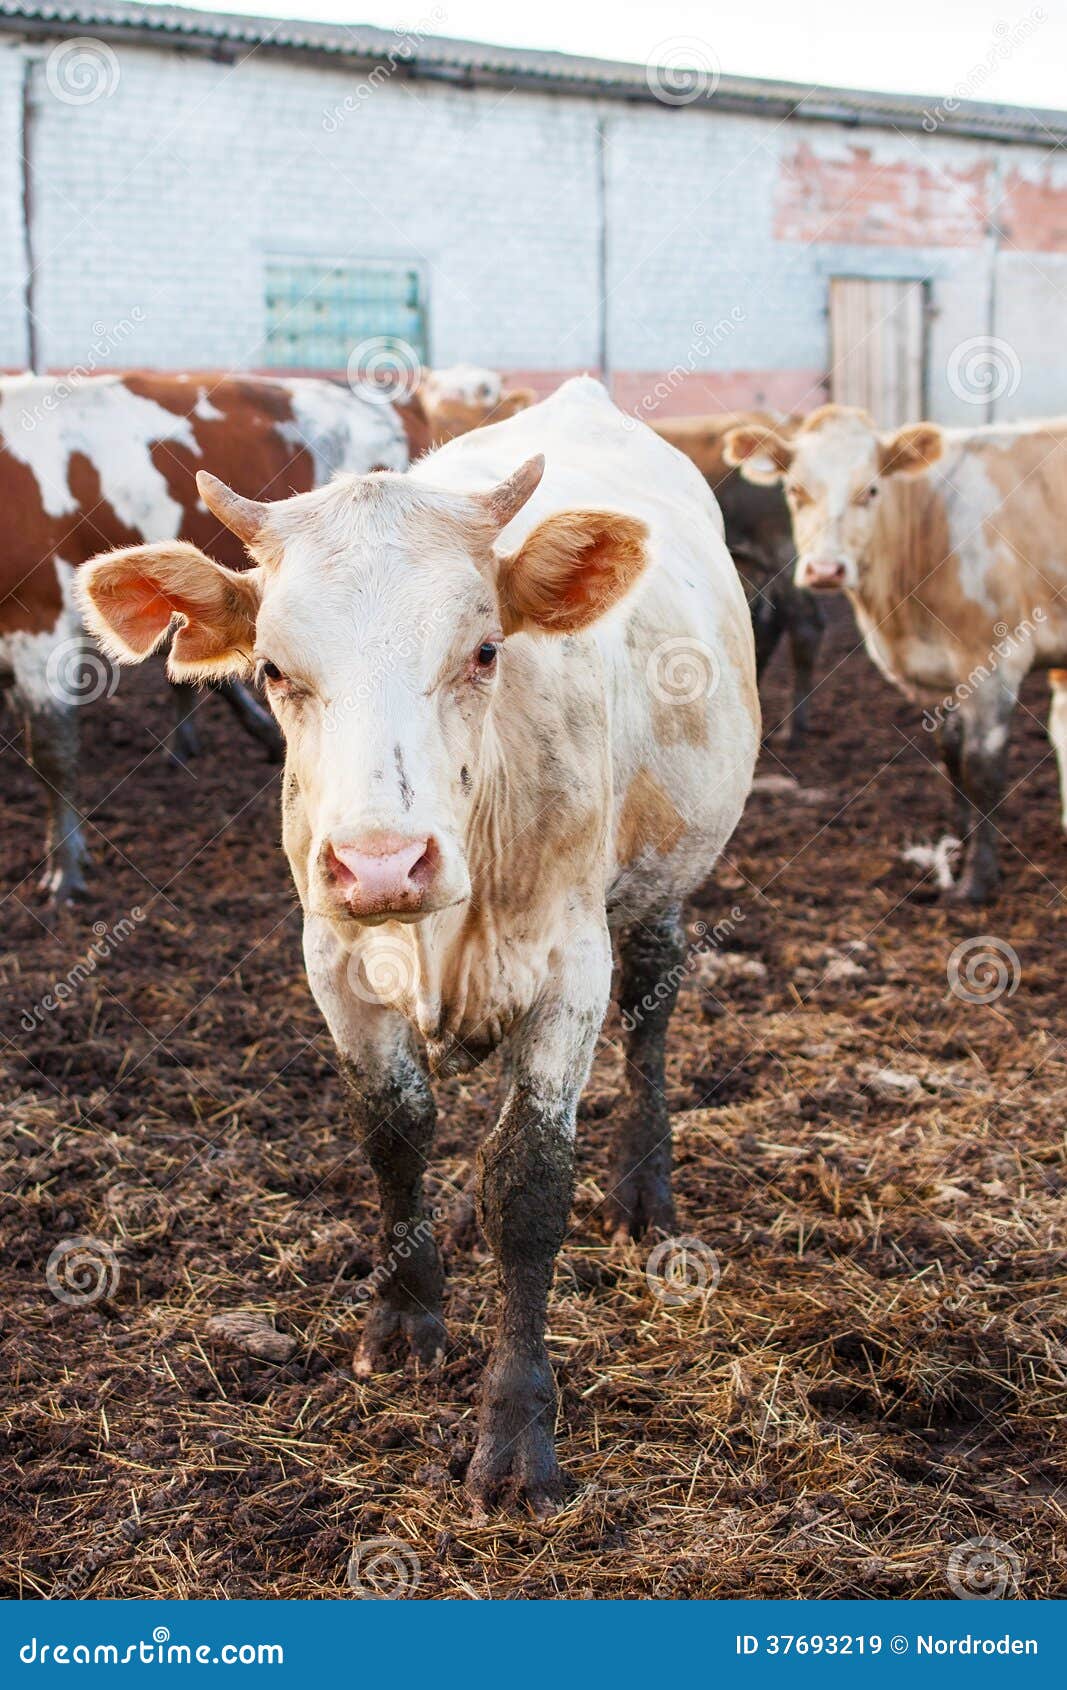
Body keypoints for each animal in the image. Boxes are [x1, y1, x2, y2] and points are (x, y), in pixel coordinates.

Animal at [77, 377, 759, 1511]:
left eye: (484, 650)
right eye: (273, 668)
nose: (383, 864)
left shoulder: (568, 967)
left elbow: (527, 1183)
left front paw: (516, 1434)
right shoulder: (332, 959)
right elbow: (393, 1132)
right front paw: (403, 1316)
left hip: (663, 881)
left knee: (652, 1016)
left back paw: (643, 1191)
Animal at [725, 403, 1067, 901]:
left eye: (871, 489)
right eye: (794, 489)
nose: (825, 570)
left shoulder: (993, 665)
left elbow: (982, 770)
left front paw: (977, 881)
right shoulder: (944, 676)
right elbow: (951, 757)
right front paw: (959, 847)